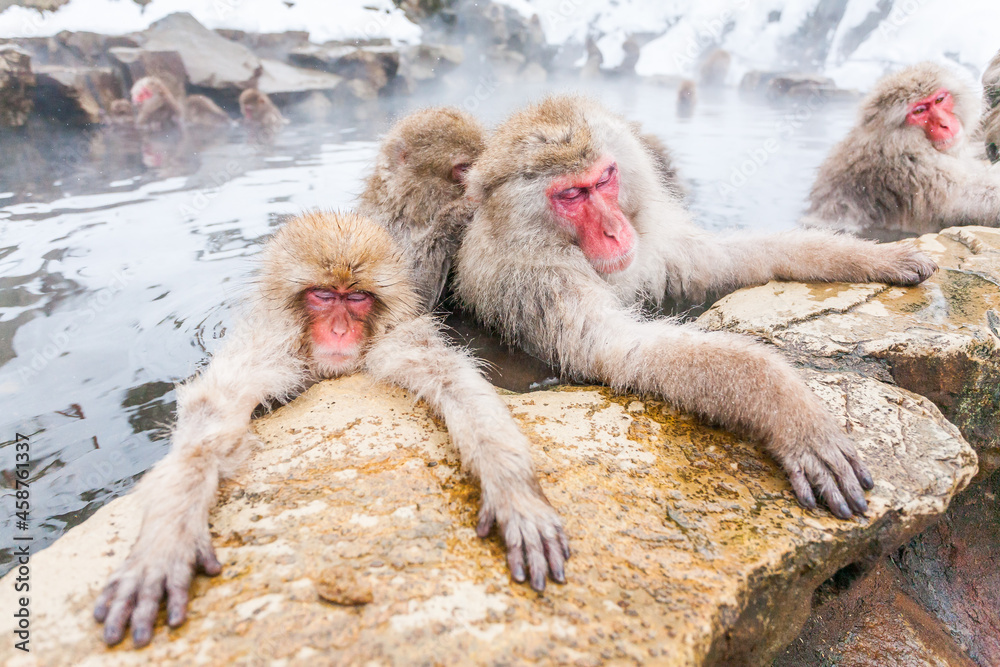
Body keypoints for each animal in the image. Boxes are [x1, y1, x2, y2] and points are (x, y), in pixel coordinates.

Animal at [93, 211, 568, 648]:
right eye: (323, 295)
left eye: (356, 298)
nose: (339, 330)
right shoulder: (268, 350)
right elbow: (212, 420)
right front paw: (165, 538)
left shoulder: (393, 342)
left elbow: (456, 385)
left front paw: (512, 488)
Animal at [453, 95, 938, 521]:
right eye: (571, 194)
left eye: (605, 179)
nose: (614, 230)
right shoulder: (539, 283)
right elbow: (619, 349)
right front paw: (789, 411)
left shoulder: (651, 244)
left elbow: (718, 261)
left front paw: (875, 256)